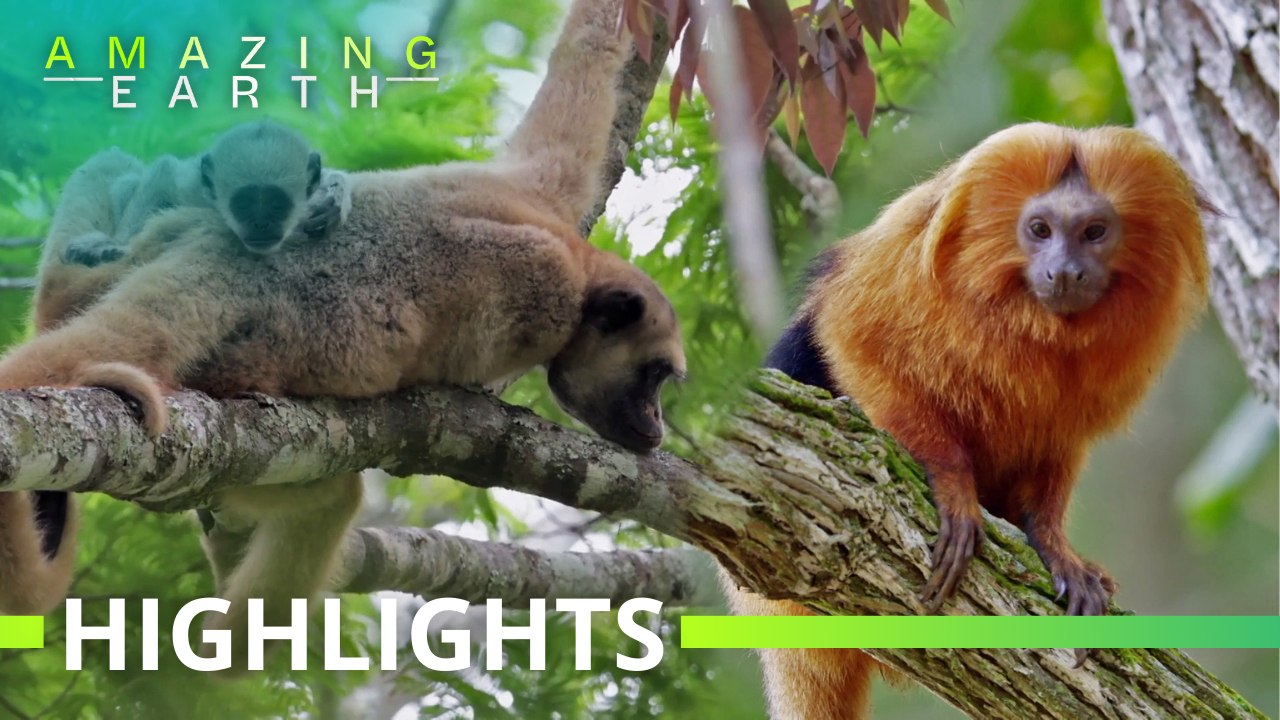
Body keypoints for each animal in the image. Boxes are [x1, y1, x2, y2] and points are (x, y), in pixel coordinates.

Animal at [34, 120, 352, 333]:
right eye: (244, 203)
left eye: (276, 204)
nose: (261, 223)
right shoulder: (194, 188)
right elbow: (163, 172)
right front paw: (114, 246)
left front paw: (336, 189)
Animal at [725, 123, 1210, 719]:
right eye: (1040, 230)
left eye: (1094, 232)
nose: (1064, 271)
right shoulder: (905, 260)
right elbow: (852, 340)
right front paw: (953, 486)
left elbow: (1055, 450)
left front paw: (1054, 545)